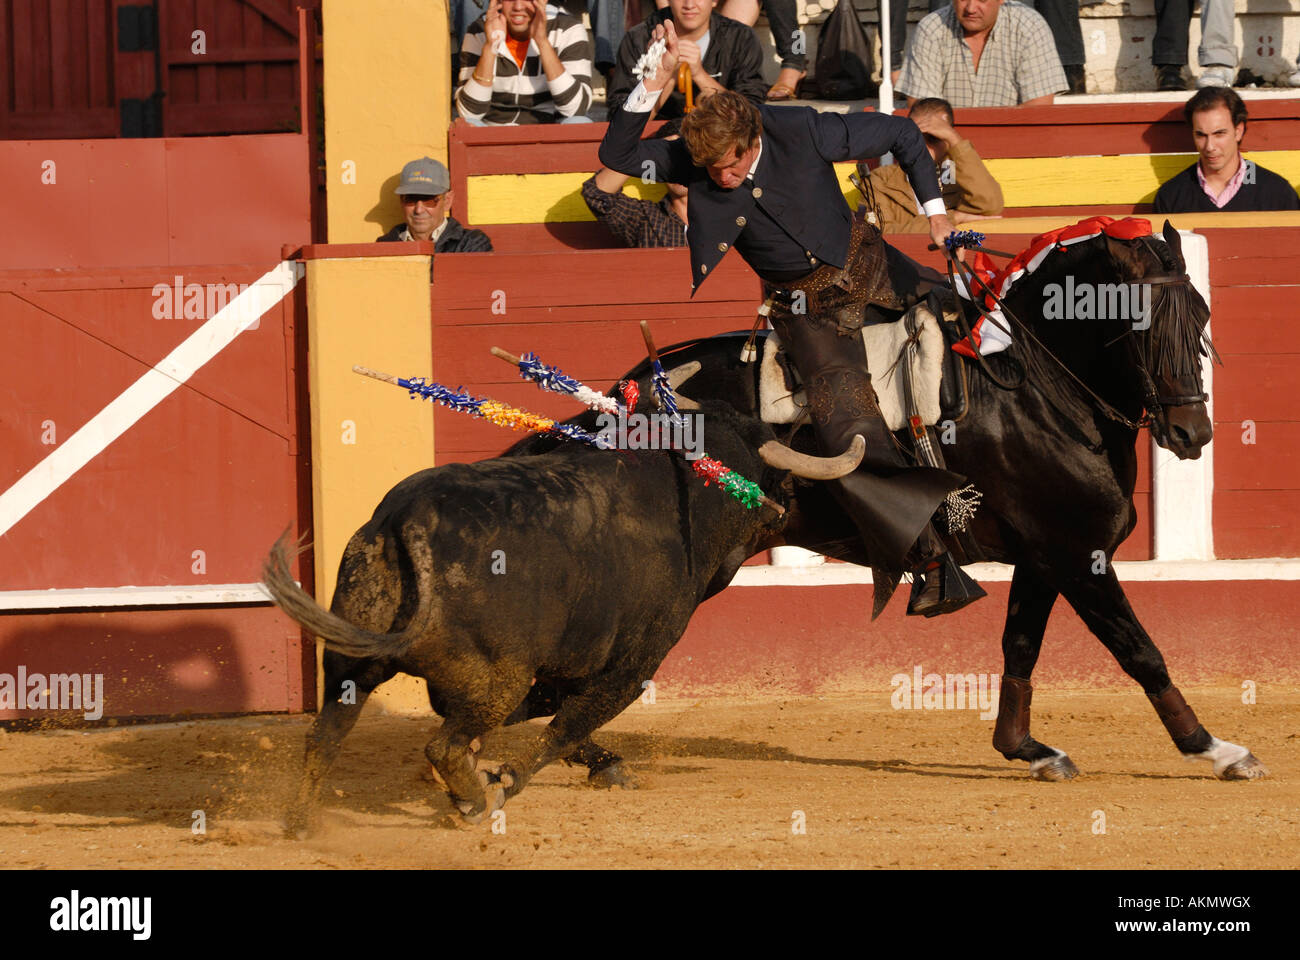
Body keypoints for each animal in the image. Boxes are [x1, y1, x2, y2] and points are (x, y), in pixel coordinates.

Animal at [263, 384, 864, 835]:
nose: (786, 513)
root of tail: (407, 518)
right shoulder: (632, 666)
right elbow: (565, 724)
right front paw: (505, 779)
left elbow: (546, 715)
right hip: (500, 674)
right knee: (444, 743)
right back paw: (476, 798)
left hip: (350, 664)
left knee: (325, 735)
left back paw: (304, 824)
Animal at [508, 218, 1266, 782]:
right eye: (1138, 322)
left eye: (1200, 313)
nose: (1192, 433)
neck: (1040, 389)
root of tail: (614, 401)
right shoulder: (1078, 555)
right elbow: (1140, 651)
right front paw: (1217, 750)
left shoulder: (1044, 558)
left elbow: (1020, 647)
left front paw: (1027, 749)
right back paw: (575, 753)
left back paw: (581, 753)